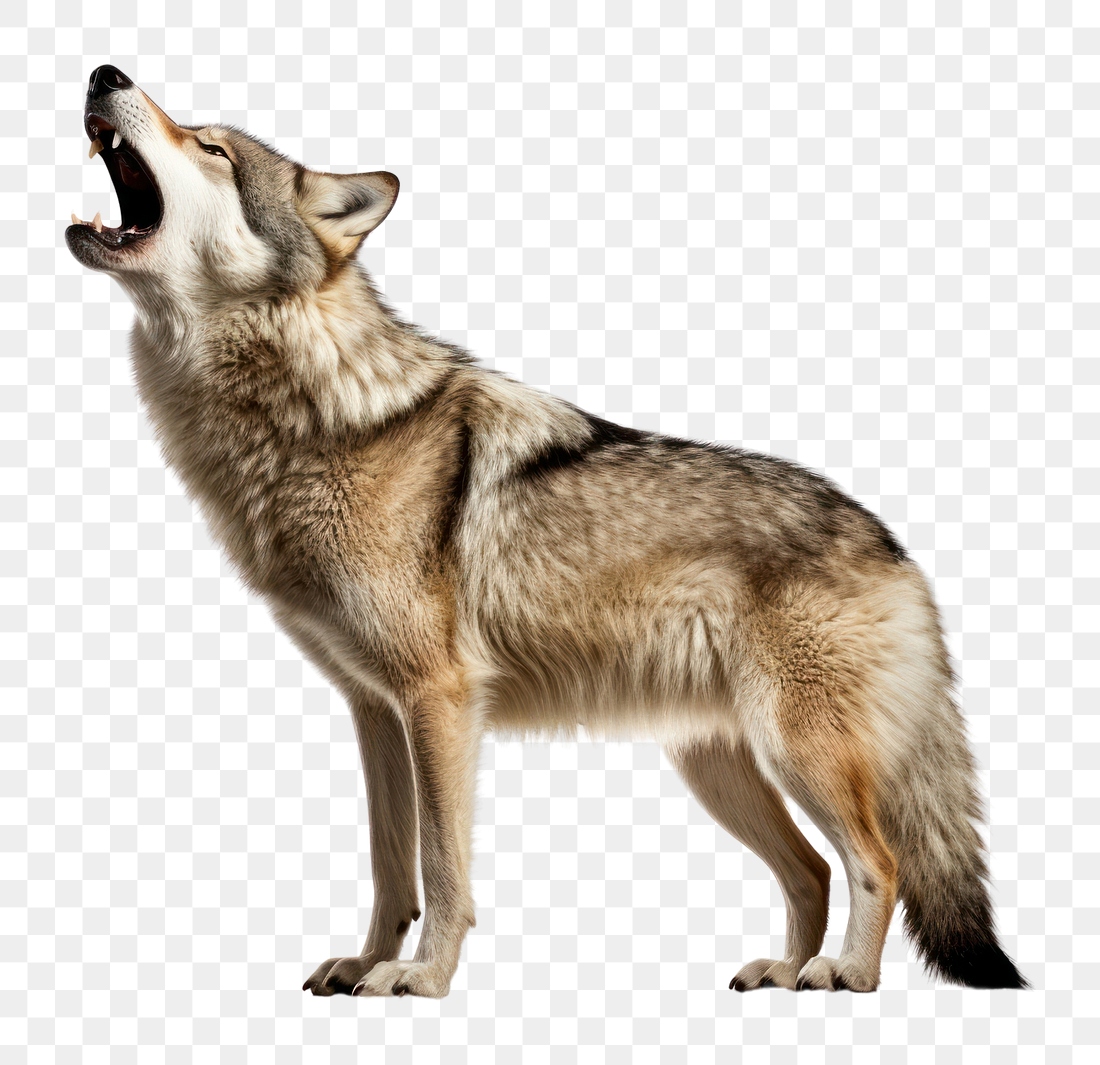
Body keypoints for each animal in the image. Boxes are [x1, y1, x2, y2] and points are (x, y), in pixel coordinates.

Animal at [66, 65, 1026, 997]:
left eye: (213, 148)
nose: (105, 72)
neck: (314, 414)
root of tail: (898, 547)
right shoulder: (375, 709)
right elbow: (389, 864)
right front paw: (368, 958)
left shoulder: (441, 700)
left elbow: (442, 863)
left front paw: (422, 976)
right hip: (720, 768)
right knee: (811, 870)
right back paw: (784, 970)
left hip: (797, 752)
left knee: (876, 860)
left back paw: (846, 974)